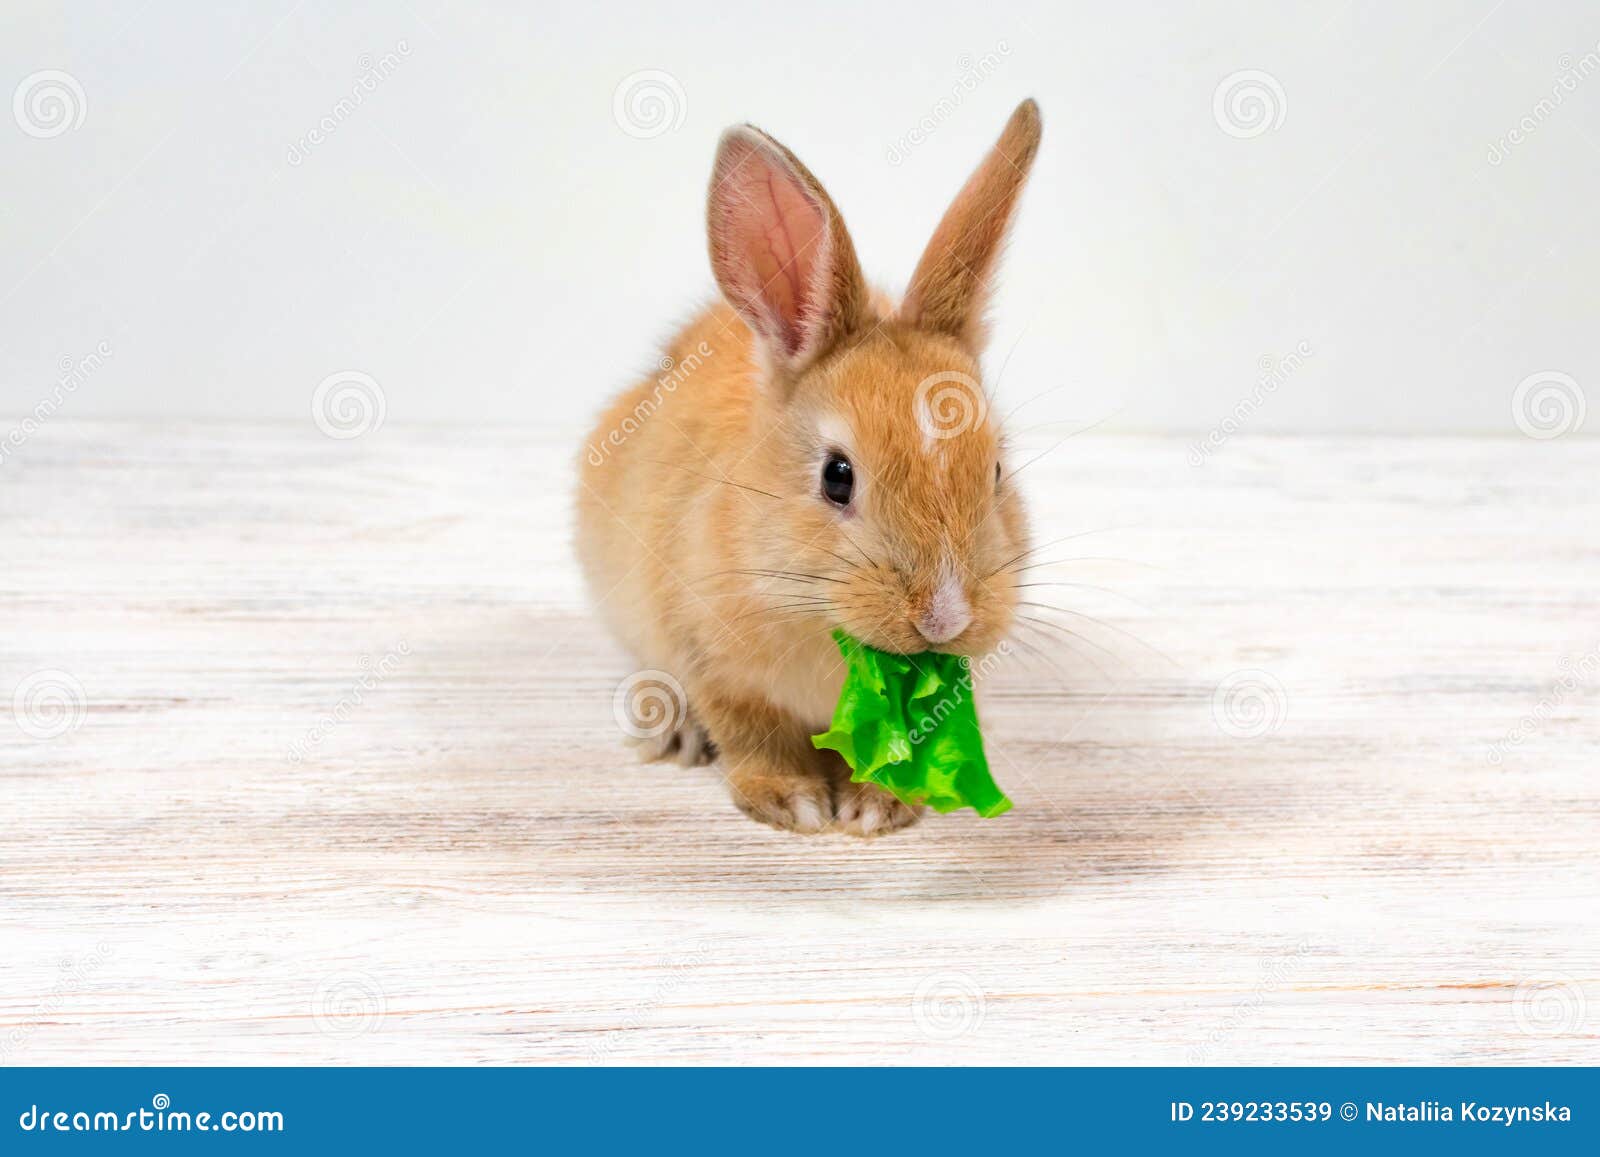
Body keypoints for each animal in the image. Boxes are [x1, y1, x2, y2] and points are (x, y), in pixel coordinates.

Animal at [576, 100, 1041, 836]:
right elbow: (752, 737)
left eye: (995, 471)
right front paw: (793, 803)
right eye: (837, 476)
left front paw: (878, 805)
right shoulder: (715, 665)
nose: (944, 619)